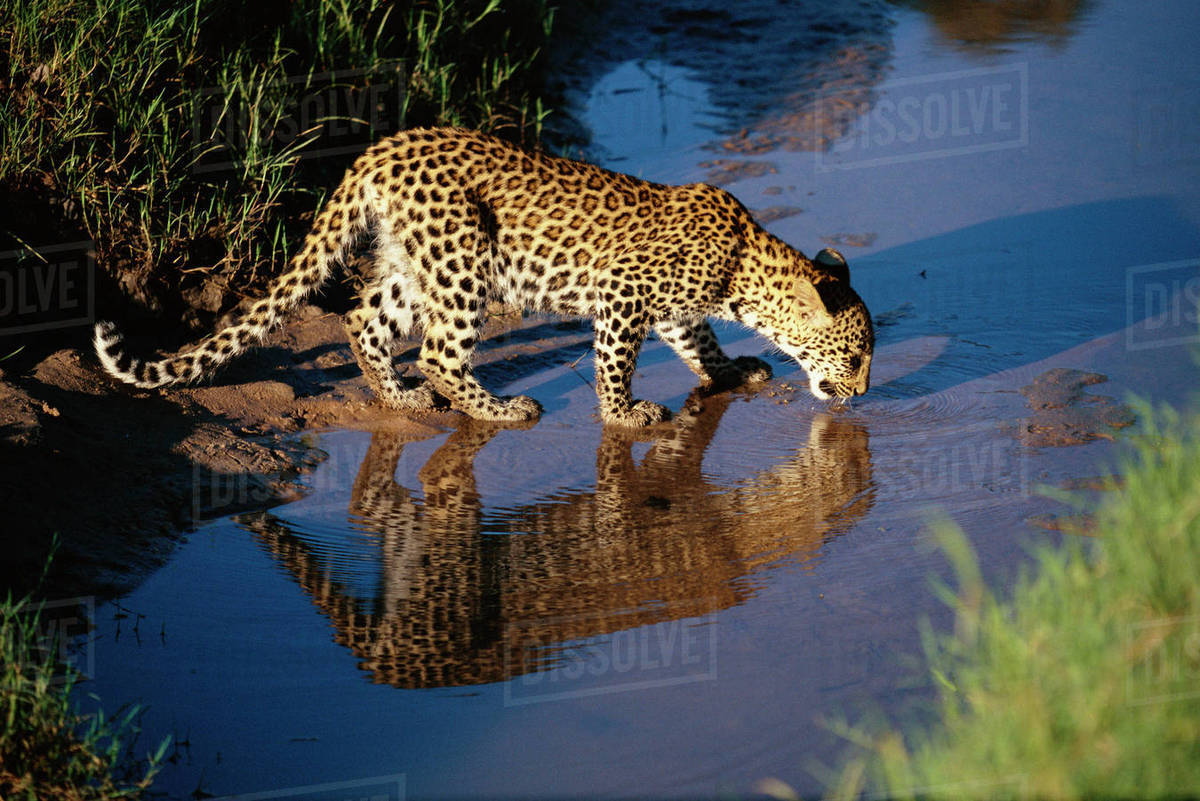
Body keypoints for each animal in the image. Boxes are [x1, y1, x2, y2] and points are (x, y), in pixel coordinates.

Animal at [94, 126, 874, 426]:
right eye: (854, 358)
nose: (863, 394)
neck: (746, 266)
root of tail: (380, 148)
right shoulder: (623, 295)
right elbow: (615, 363)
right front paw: (623, 415)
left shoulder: (677, 309)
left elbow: (699, 343)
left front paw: (733, 370)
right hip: (465, 262)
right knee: (441, 352)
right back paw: (498, 407)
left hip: (419, 264)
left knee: (363, 319)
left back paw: (400, 397)